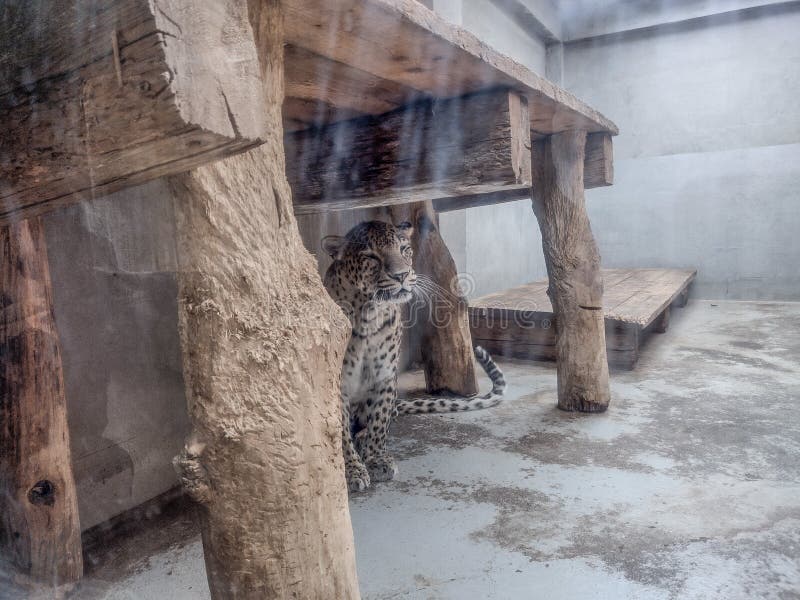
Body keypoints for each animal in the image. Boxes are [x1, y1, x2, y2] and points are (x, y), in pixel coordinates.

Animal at [322, 220, 506, 493]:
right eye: (371, 256)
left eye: (404, 249)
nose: (401, 275)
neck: (369, 313)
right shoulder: (338, 383)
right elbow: (340, 433)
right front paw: (352, 470)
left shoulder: (385, 375)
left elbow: (379, 421)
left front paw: (377, 458)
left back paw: (364, 439)